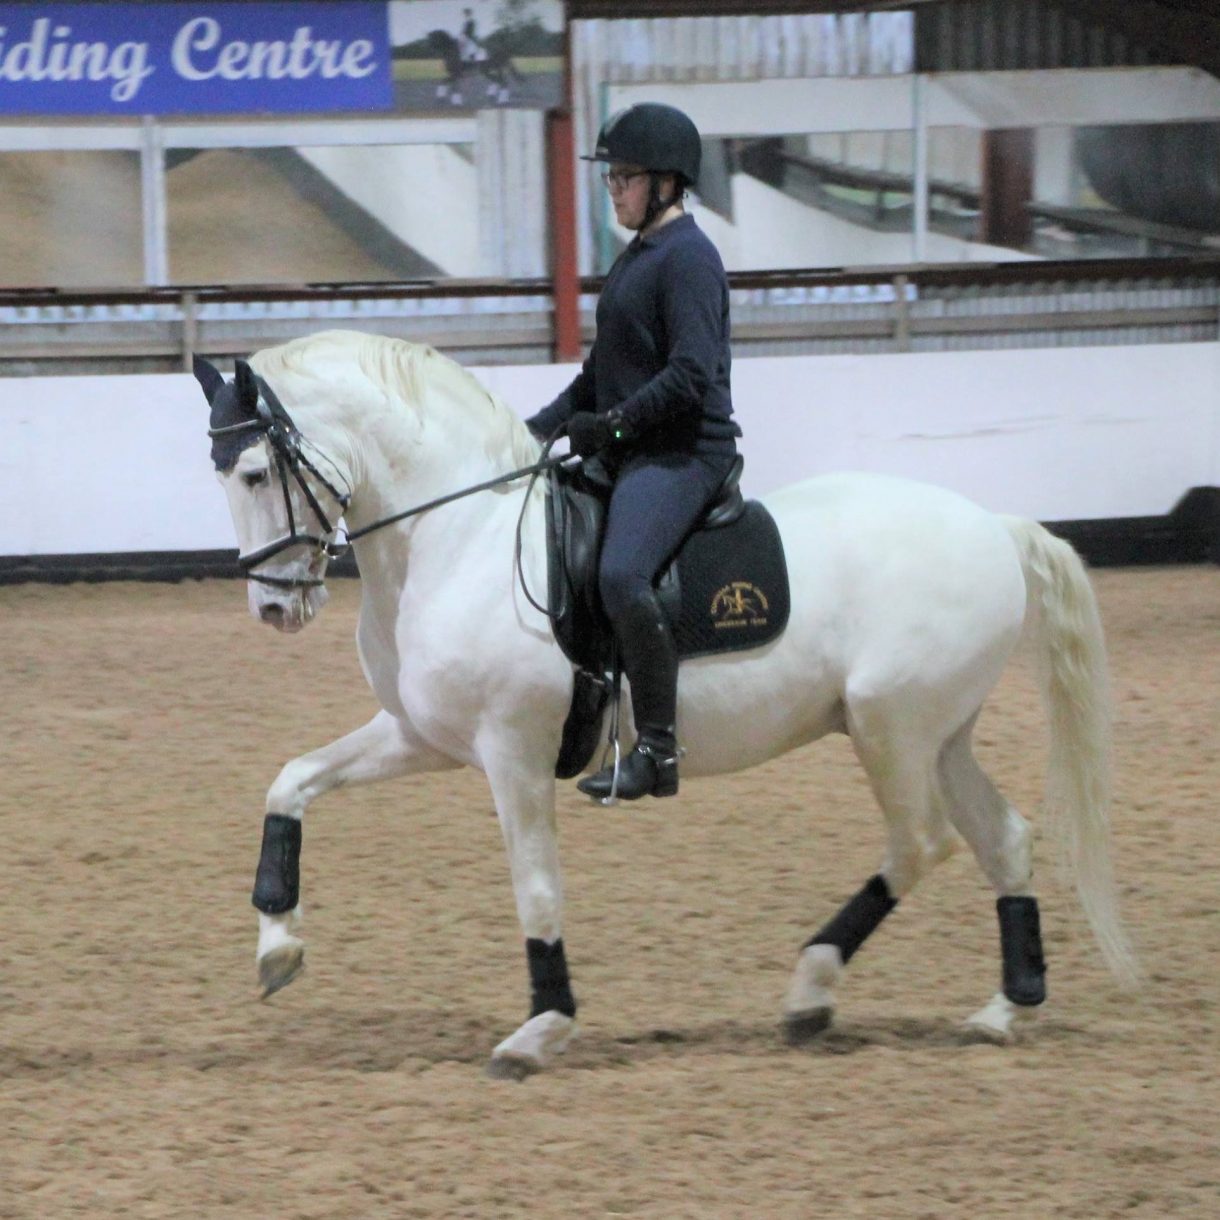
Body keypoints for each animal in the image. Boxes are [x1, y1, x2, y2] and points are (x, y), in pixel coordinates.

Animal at [193, 329, 1138, 1078]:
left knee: (921, 843)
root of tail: (994, 526)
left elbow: (536, 887)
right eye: (221, 474)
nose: (274, 607)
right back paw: (1004, 1008)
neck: (457, 535)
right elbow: (292, 781)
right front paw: (278, 947)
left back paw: (812, 989)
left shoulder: (512, 752)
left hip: (890, 728)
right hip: (940, 733)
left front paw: (540, 1029)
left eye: (255, 471)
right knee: (1001, 838)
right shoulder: (421, 735)